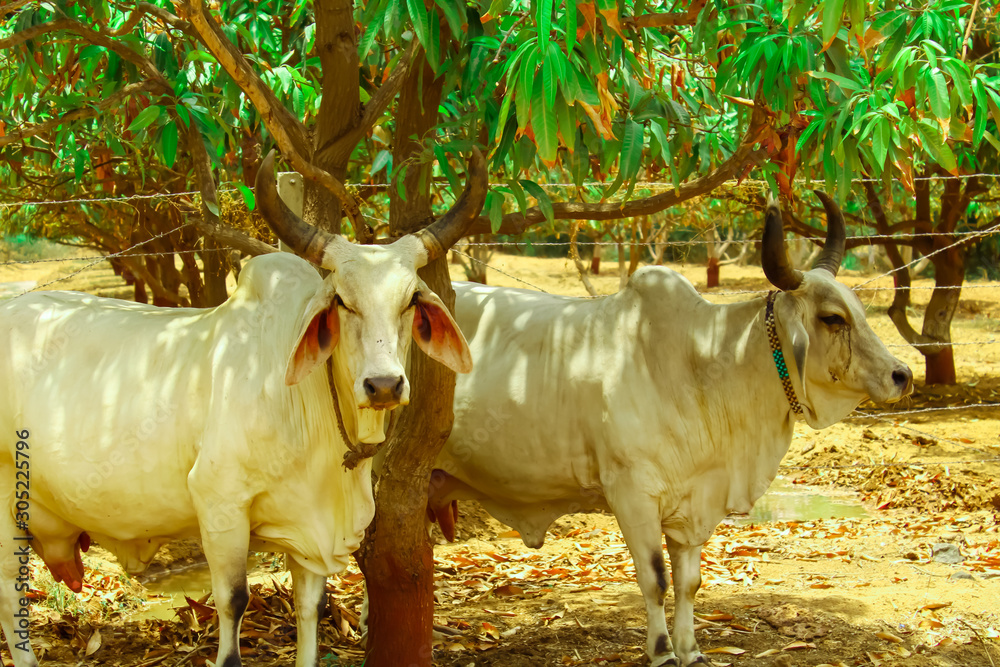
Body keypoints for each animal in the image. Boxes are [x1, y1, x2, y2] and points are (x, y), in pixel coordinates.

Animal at [0, 149, 486, 667]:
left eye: (411, 299)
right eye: (341, 300)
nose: (384, 385)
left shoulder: (310, 530)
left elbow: (311, 609)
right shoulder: (220, 505)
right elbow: (233, 602)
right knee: (12, 597)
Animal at [426, 192, 913, 666]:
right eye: (833, 318)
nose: (902, 375)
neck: (705, 363)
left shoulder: (695, 500)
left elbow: (689, 583)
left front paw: (691, 649)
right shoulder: (633, 494)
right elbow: (656, 579)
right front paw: (661, 651)